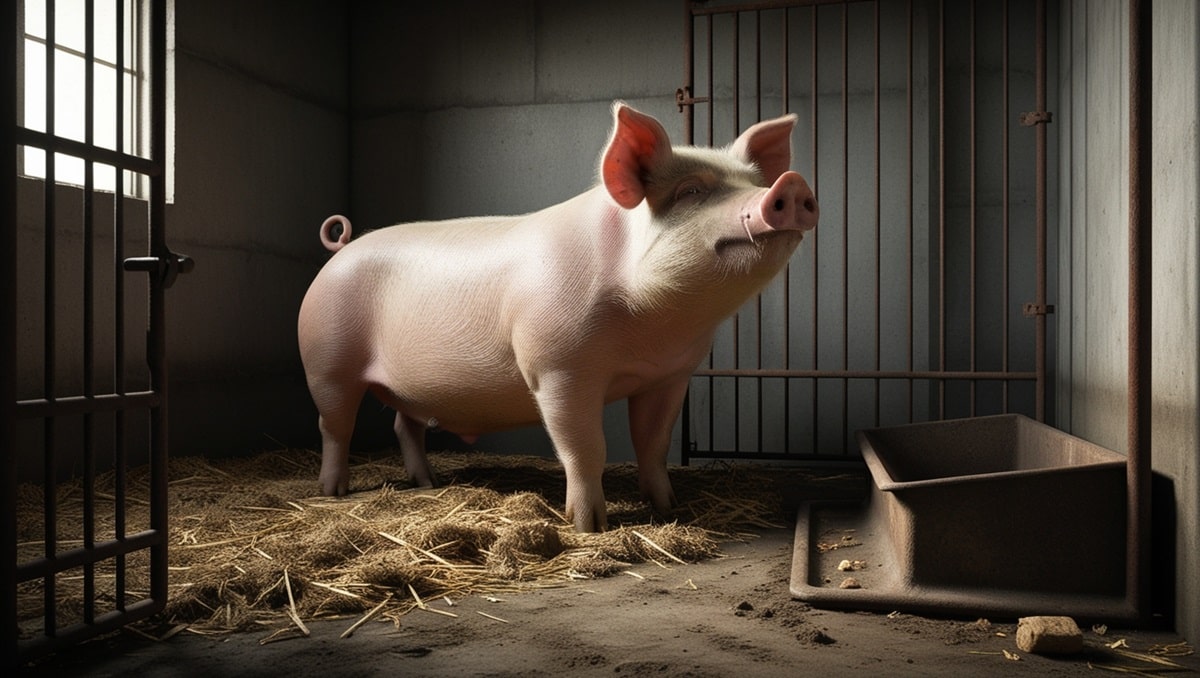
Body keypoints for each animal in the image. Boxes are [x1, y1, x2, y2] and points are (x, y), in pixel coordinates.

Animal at [298, 102, 818, 532]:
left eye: (753, 184)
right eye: (691, 191)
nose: (790, 183)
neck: (653, 330)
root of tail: (342, 249)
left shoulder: (670, 375)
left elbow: (653, 444)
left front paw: (667, 507)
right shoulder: (558, 367)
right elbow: (585, 448)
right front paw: (589, 526)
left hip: (406, 386)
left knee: (405, 425)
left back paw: (426, 483)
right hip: (326, 362)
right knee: (334, 427)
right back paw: (333, 491)